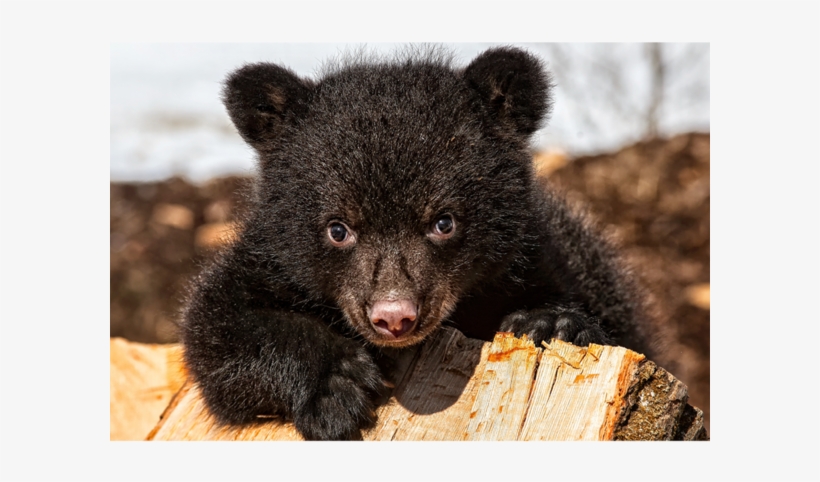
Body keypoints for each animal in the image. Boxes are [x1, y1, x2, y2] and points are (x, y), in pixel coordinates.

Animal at [181, 45, 657, 441]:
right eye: (338, 229)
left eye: (443, 222)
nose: (394, 317)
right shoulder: (270, 260)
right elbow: (215, 327)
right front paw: (338, 385)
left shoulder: (545, 261)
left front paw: (548, 322)